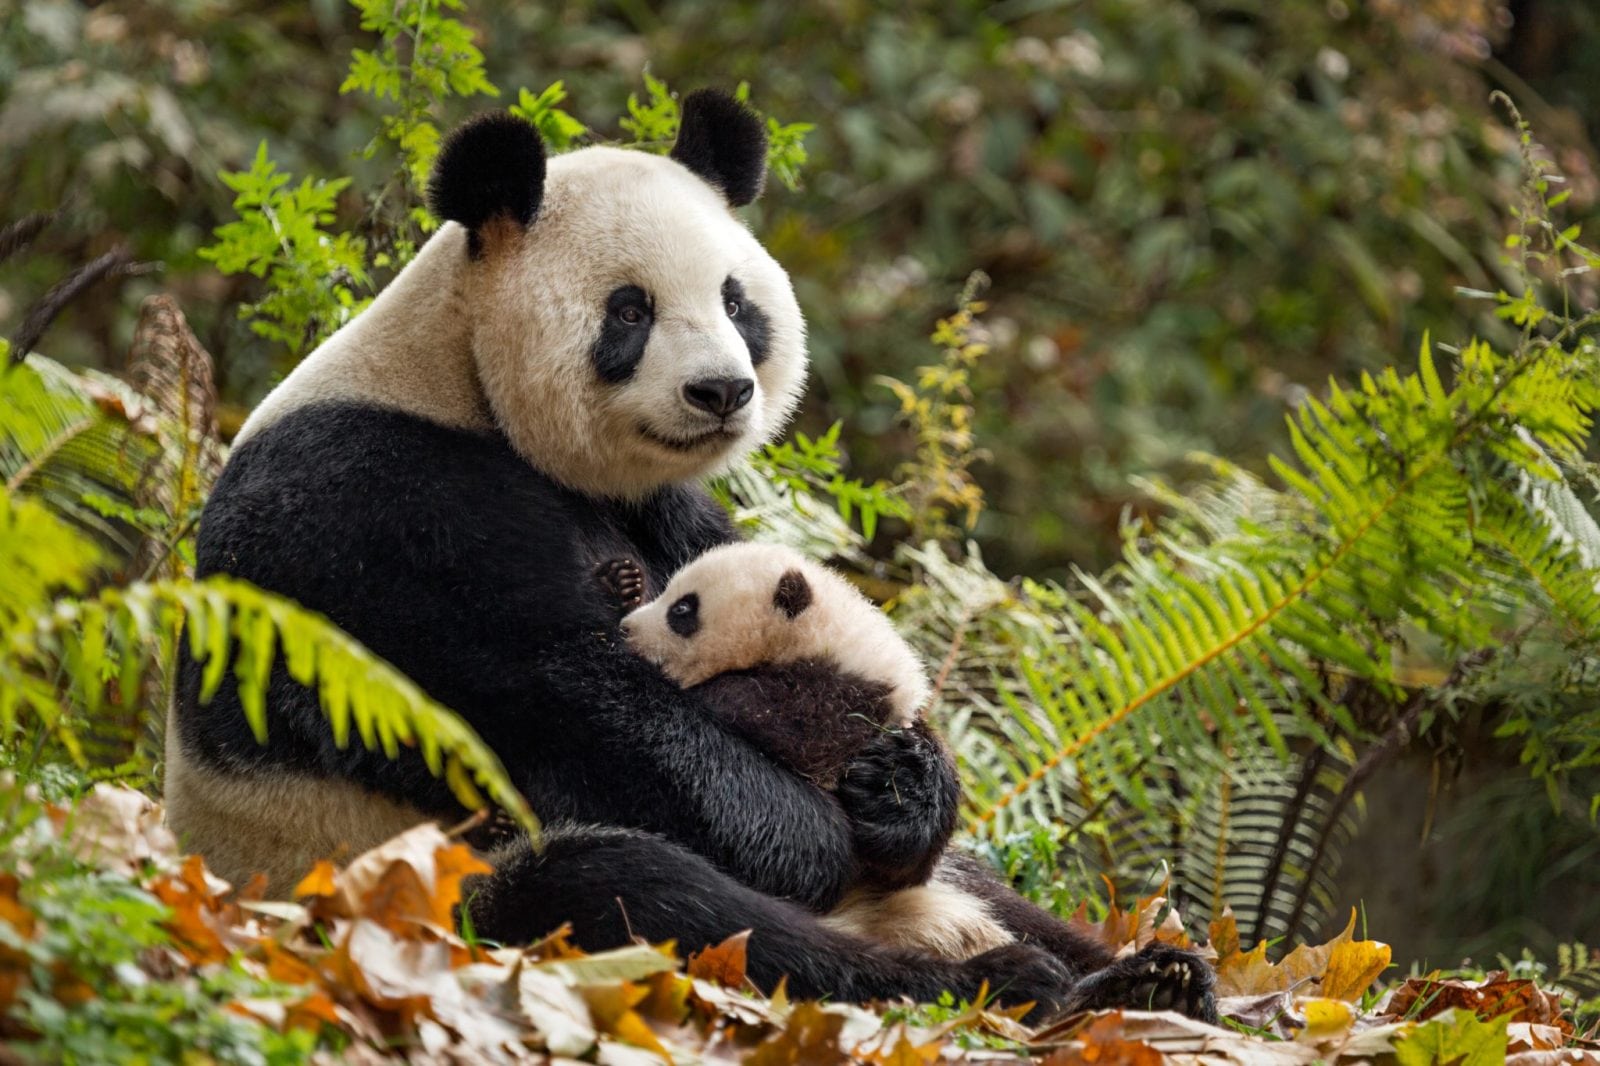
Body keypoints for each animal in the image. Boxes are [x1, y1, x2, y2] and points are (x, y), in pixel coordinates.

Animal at [164, 91, 1216, 1021]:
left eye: (737, 301)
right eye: (629, 311)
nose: (722, 391)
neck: (457, 379)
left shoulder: (661, 507)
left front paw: (907, 789)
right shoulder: (378, 515)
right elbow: (559, 707)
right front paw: (816, 833)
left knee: (987, 887)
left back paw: (1146, 977)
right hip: (403, 884)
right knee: (638, 896)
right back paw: (994, 981)